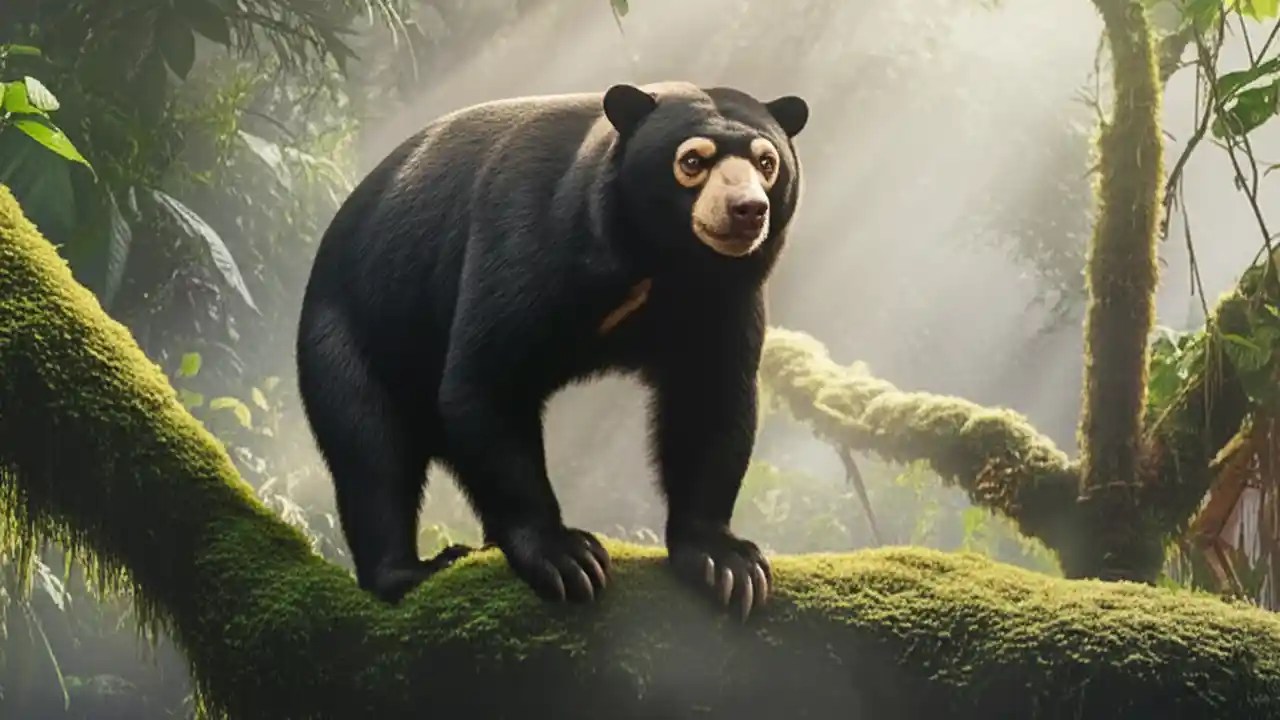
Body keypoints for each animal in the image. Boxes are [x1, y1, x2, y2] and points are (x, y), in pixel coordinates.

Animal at [295, 80, 808, 620]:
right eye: (691, 161)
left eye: (767, 162)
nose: (747, 209)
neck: (657, 263)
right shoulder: (528, 237)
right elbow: (489, 379)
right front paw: (566, 557)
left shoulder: (724, 298)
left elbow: (709, 402)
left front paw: (727, 564)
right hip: (350, 333)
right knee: (372, 452)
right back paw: (407, 572)